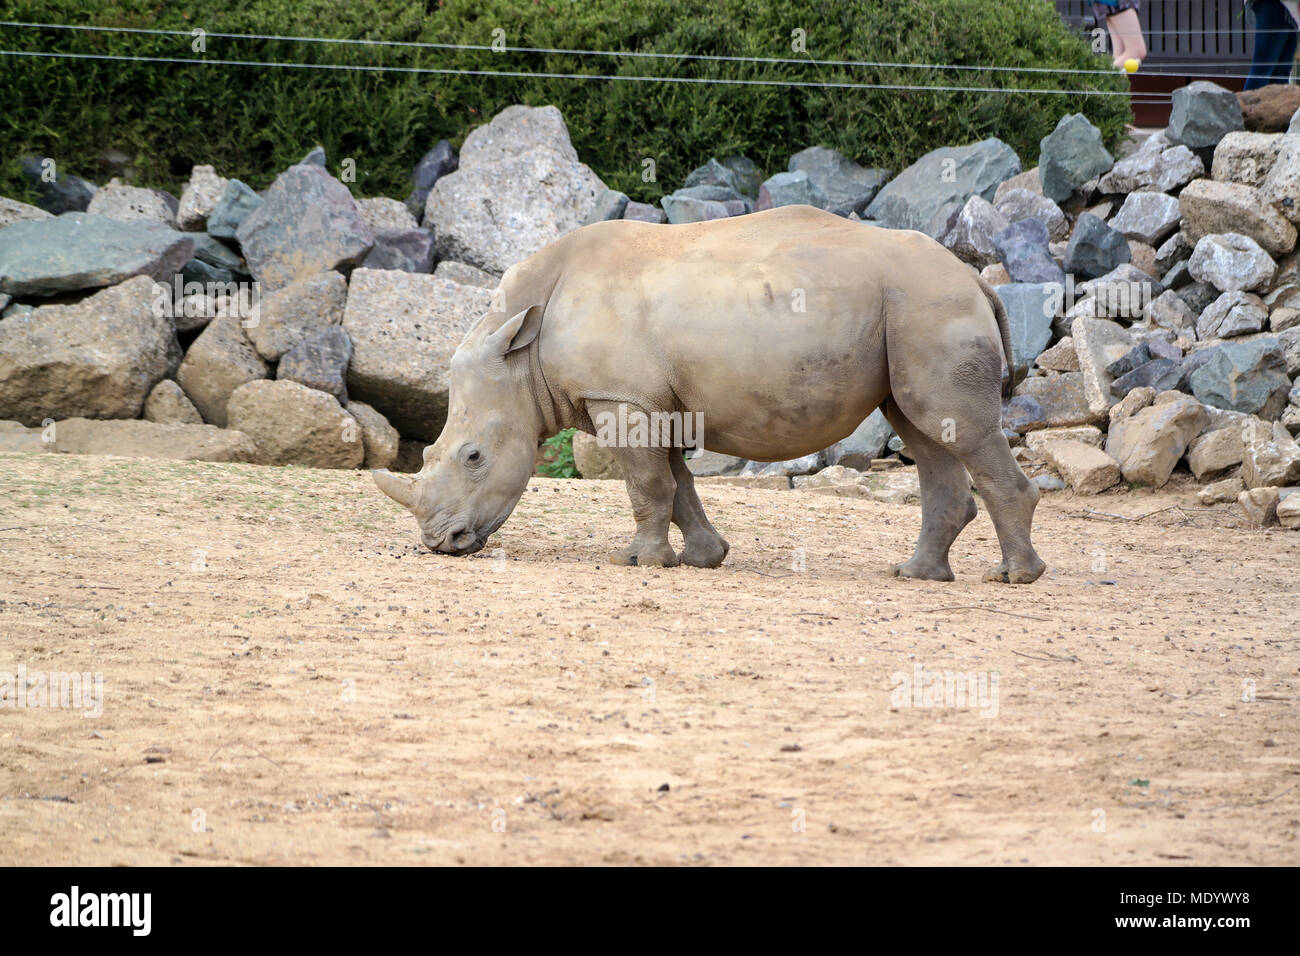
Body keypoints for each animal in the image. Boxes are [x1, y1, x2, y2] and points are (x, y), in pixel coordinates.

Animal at [373, 205, 1046, 583]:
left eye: (474, 457)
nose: (441, 545)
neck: (521, 354)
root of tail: (975, 279)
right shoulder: (652, 400)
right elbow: (676, 486)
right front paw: (703, 559)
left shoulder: (622, 398)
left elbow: (647, 483)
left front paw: (638, 564)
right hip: (911, 309)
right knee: (924, 430)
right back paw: (916, 575)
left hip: (931, 305)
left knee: (956, 427)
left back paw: (1013, 578)